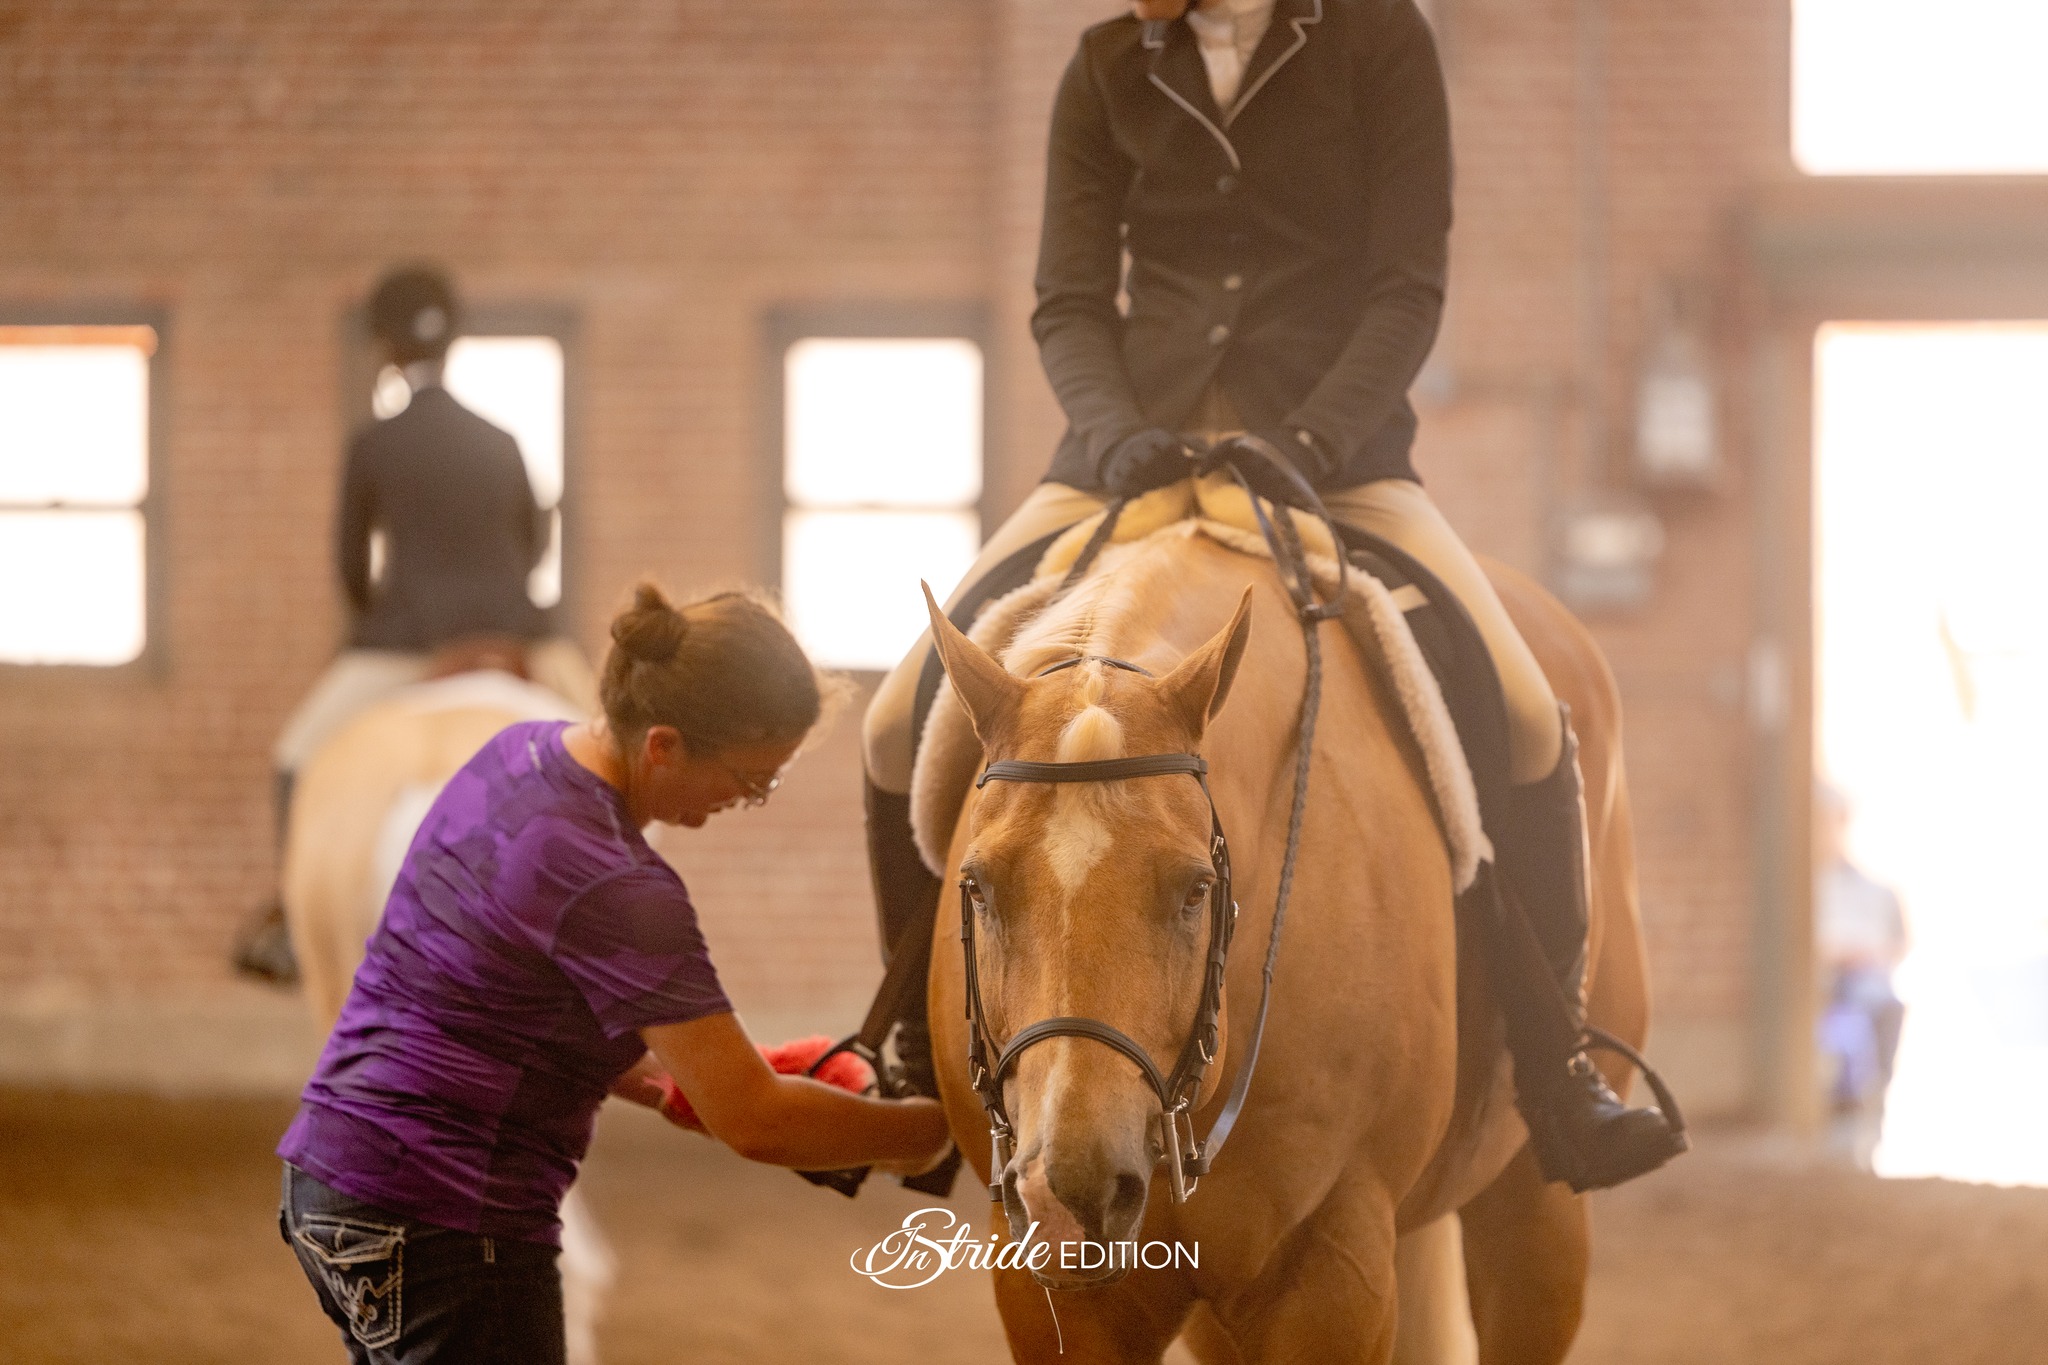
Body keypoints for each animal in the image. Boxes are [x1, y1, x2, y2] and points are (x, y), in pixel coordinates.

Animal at [916, 518, 1652, 1365]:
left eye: (1196, 888)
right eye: (977, 886)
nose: (1070, 1193)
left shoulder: (1331, 1266)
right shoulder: (1054, 1292)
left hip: (1534, 1214)